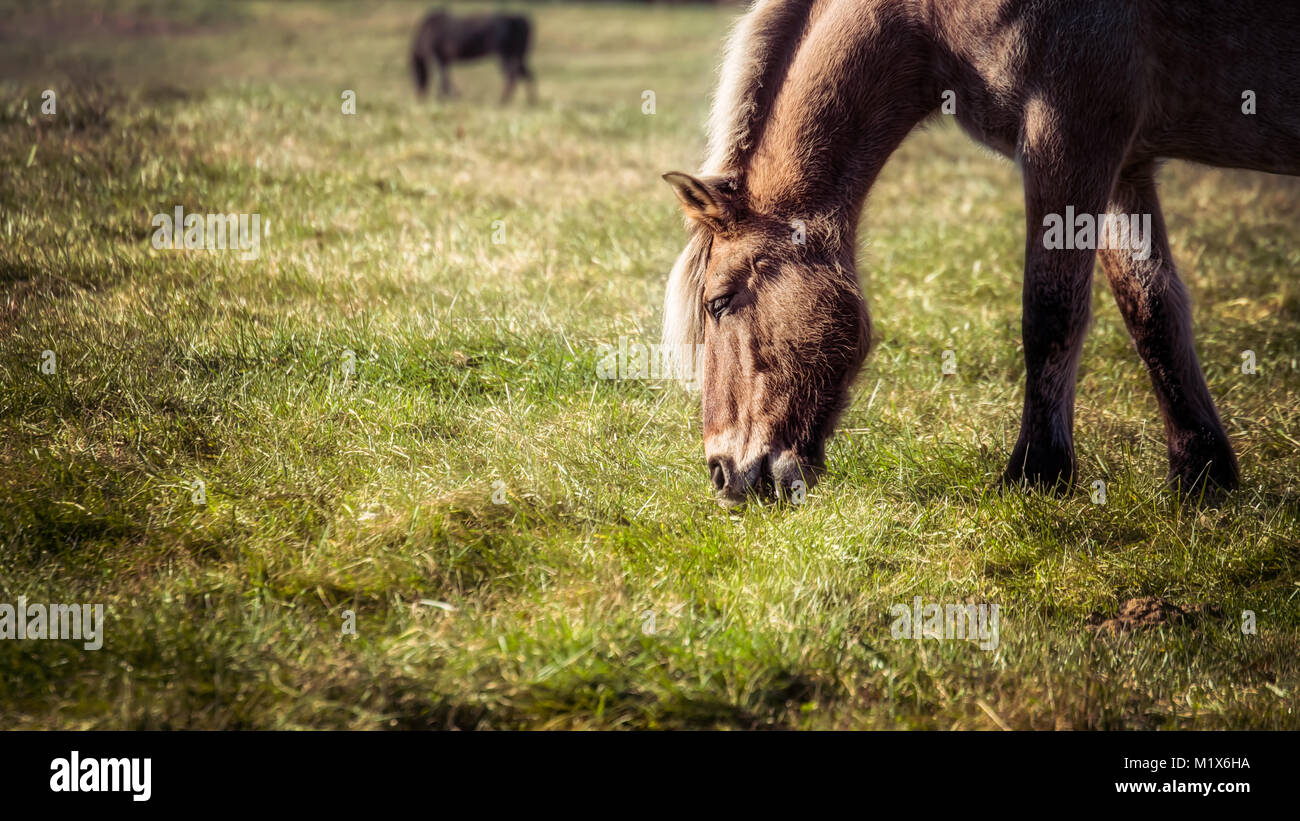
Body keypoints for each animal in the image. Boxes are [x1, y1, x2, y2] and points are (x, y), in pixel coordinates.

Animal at [661, 0, 1300, 506]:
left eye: (719, 302)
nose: (722, 475)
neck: (930, 15)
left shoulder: (1069, 135)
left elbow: (1050, 312)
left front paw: (1037, 474)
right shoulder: (1125, 167)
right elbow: (1152, 310)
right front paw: (1201, 474)